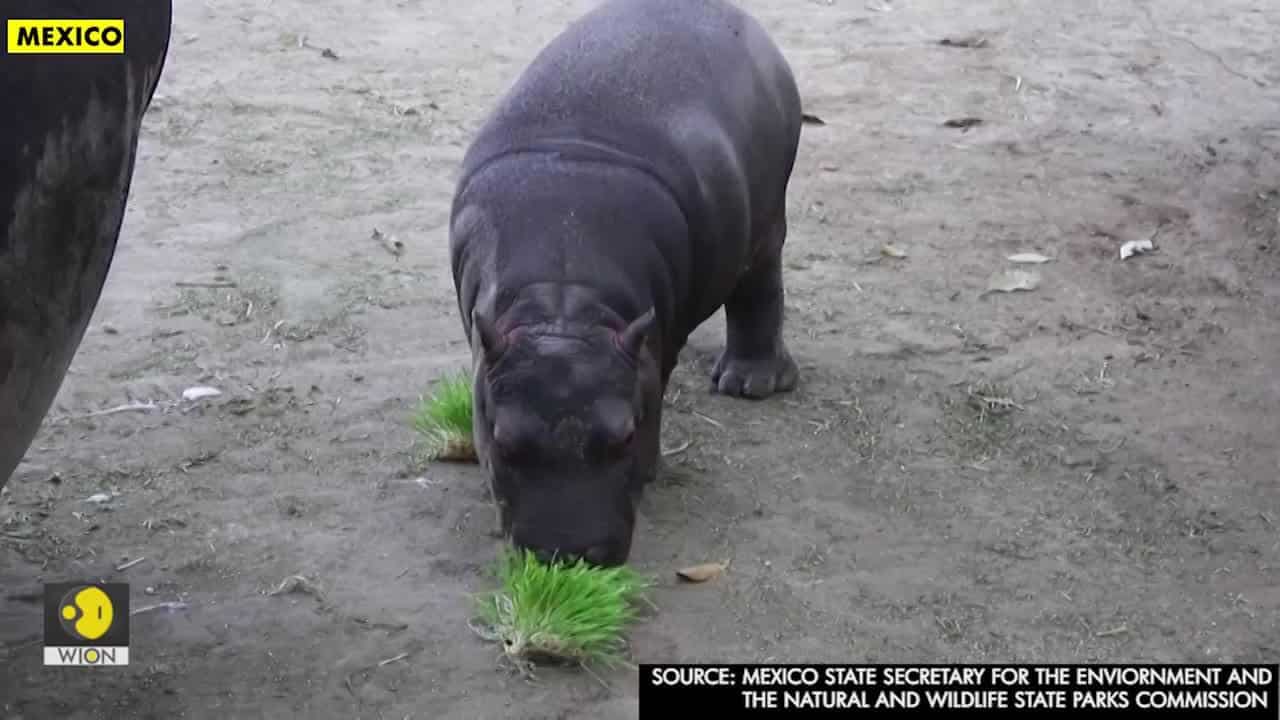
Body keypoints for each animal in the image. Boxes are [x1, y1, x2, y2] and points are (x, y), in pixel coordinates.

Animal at [449, 0, 804, 566]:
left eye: (624, 436)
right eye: (502, 440)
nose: (570, 553)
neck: (564, 302)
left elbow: (656, 388)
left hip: (767, 222)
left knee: (759, 290)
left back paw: (747, 384)